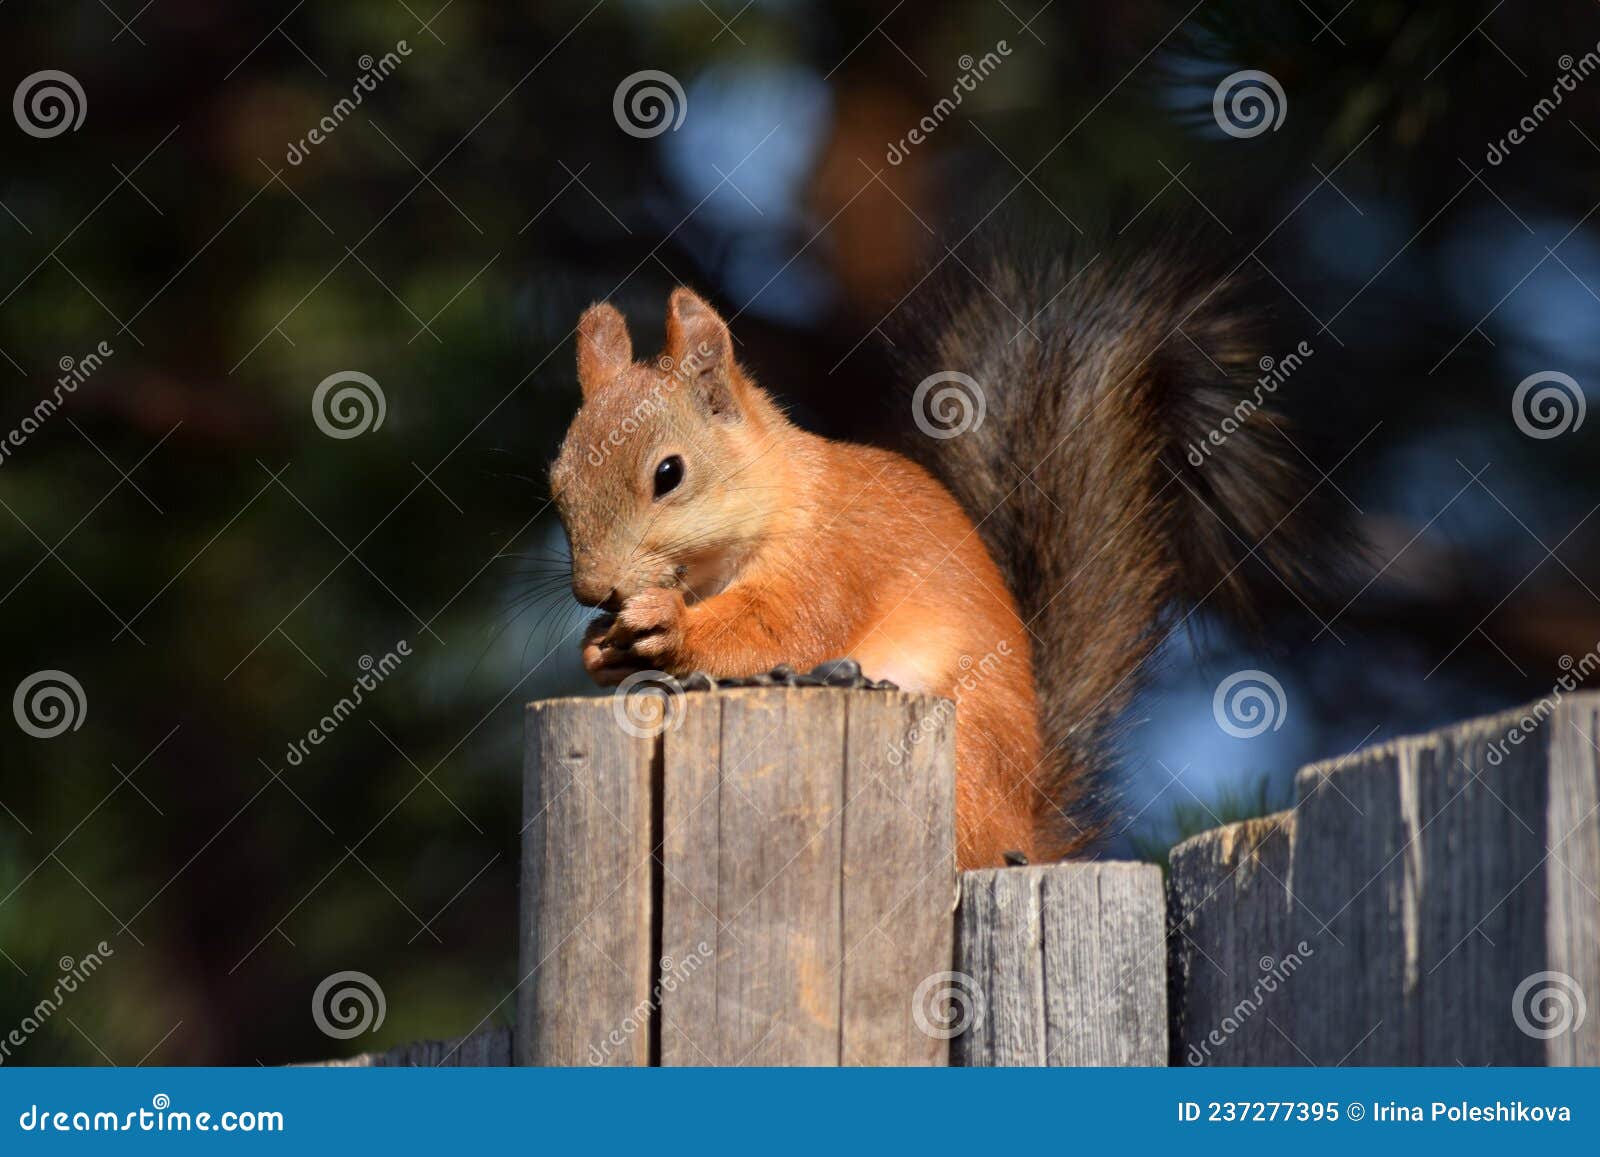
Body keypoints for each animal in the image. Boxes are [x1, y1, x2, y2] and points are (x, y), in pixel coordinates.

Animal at [549, 239, 1340, 870]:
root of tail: (1026, 830)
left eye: (669, 473)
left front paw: (667, 625)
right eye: (556, 482)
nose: (594, 591)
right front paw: (600, 649)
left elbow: (783, 624)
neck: (776, 502)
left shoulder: (837, 558)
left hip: (965, 768)